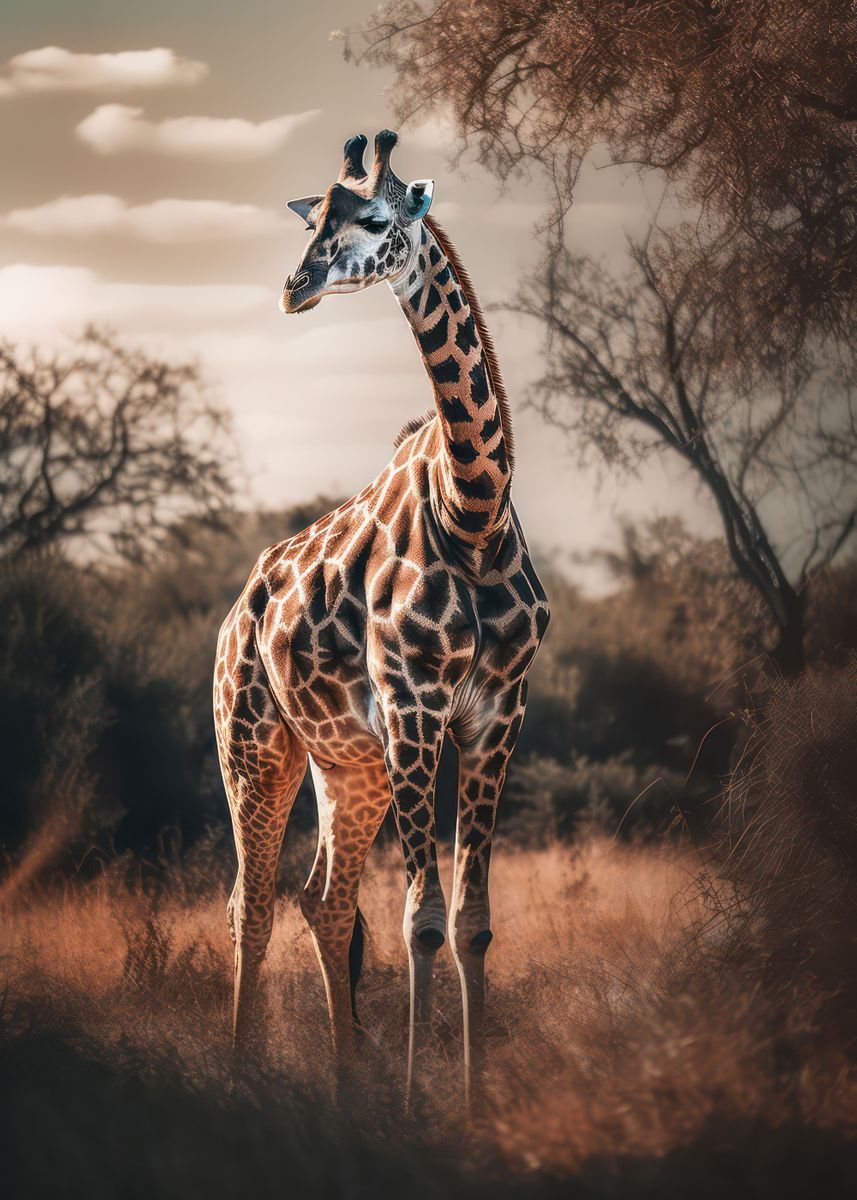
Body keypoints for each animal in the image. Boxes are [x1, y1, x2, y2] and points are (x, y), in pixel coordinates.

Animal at [213, 130, 549, 1102]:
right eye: (311, 220)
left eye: (371, 218)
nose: (294, 286)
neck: (473, 512)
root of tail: (234, 616)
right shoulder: (414, 708)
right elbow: (420, 920)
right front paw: (411, 1103)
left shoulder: (496, 715)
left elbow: (470, 921)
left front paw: (467, 1101)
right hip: (253, 744)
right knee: (250, 903)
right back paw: (241, 1077)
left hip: (345, 763)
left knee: (321, 900)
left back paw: (343, 1079)